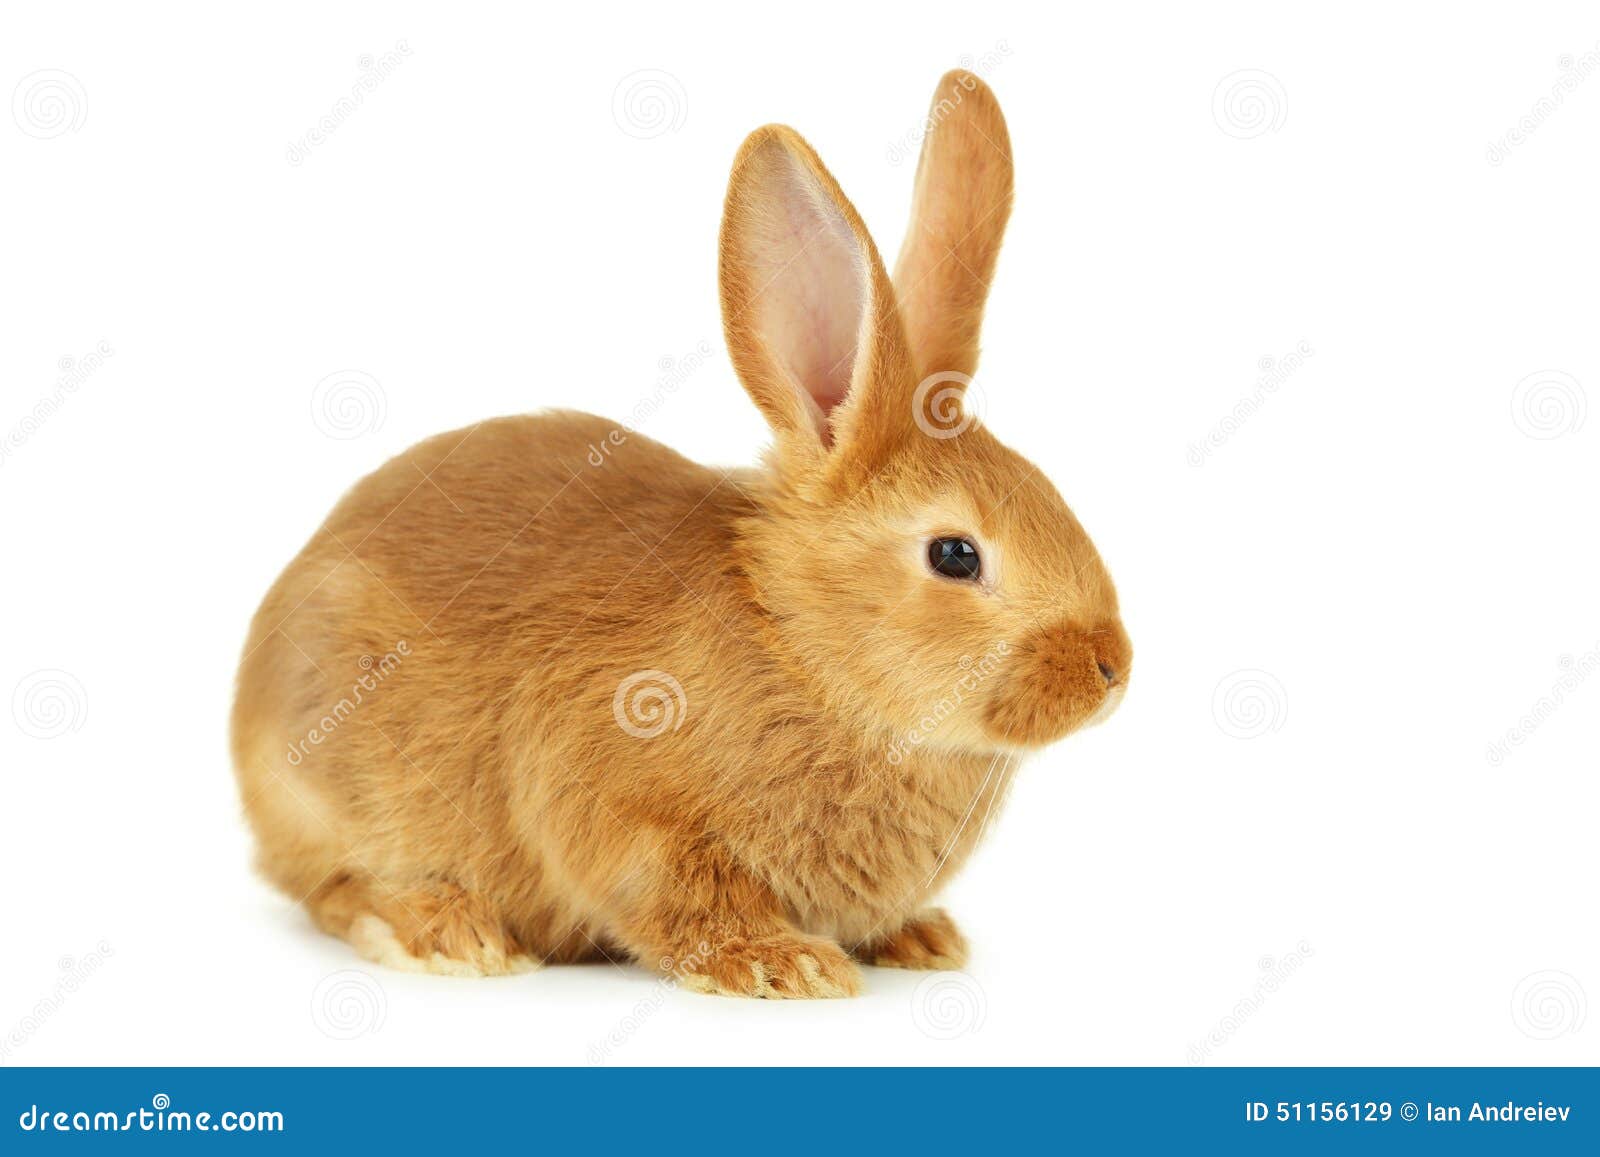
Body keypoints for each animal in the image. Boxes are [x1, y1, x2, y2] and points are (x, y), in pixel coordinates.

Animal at [231, 70, 1130, 998]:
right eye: (955, 554)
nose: (1111, 668)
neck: (797, 644)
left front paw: (918, 937)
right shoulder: (617, 795)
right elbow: (682, 893)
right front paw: (783, 963)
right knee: (334, 889)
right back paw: (448, 930)